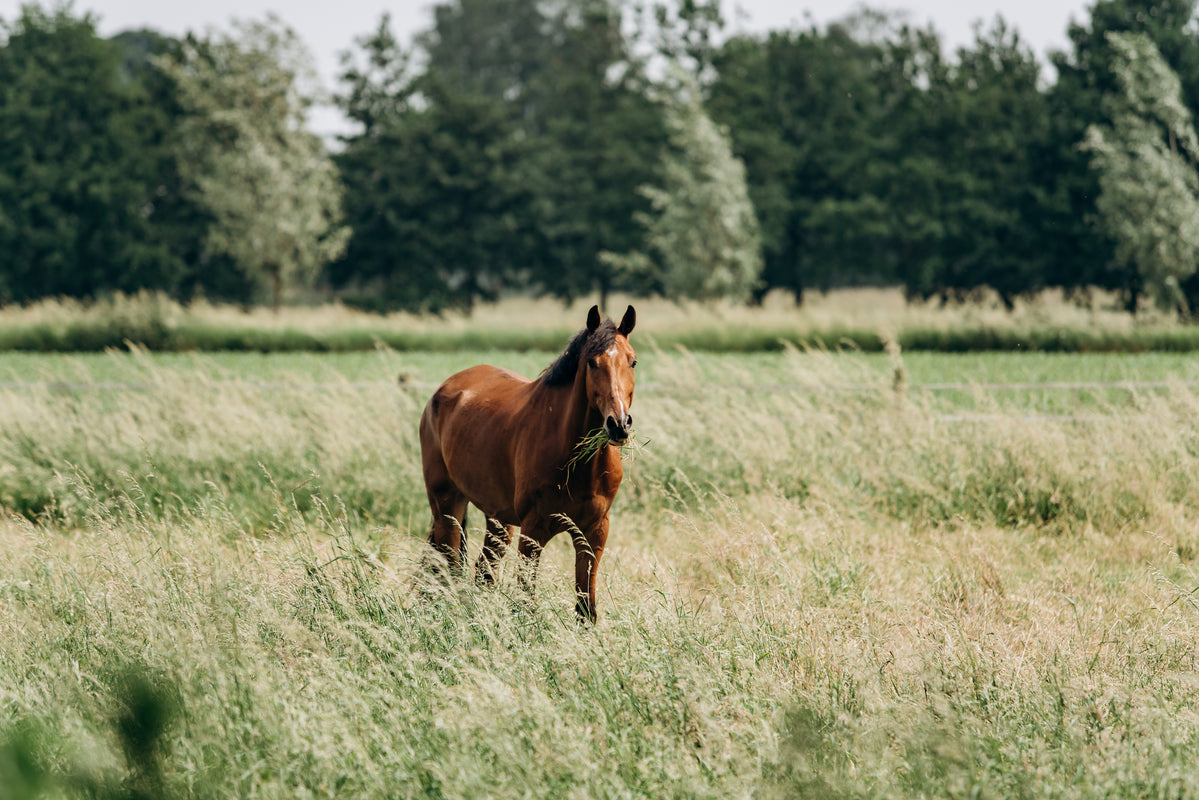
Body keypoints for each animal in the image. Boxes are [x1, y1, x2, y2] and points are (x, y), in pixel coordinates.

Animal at [418, 305, 637, 623]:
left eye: (633, 361)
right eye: (592, 363)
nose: (619, 424)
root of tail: (443, 390)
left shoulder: (594, 531)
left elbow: (586, 609)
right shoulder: (534, 530)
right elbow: (525, 601)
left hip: (498, 519)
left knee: (482, 571)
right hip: (447, 505)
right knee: (450, 566)